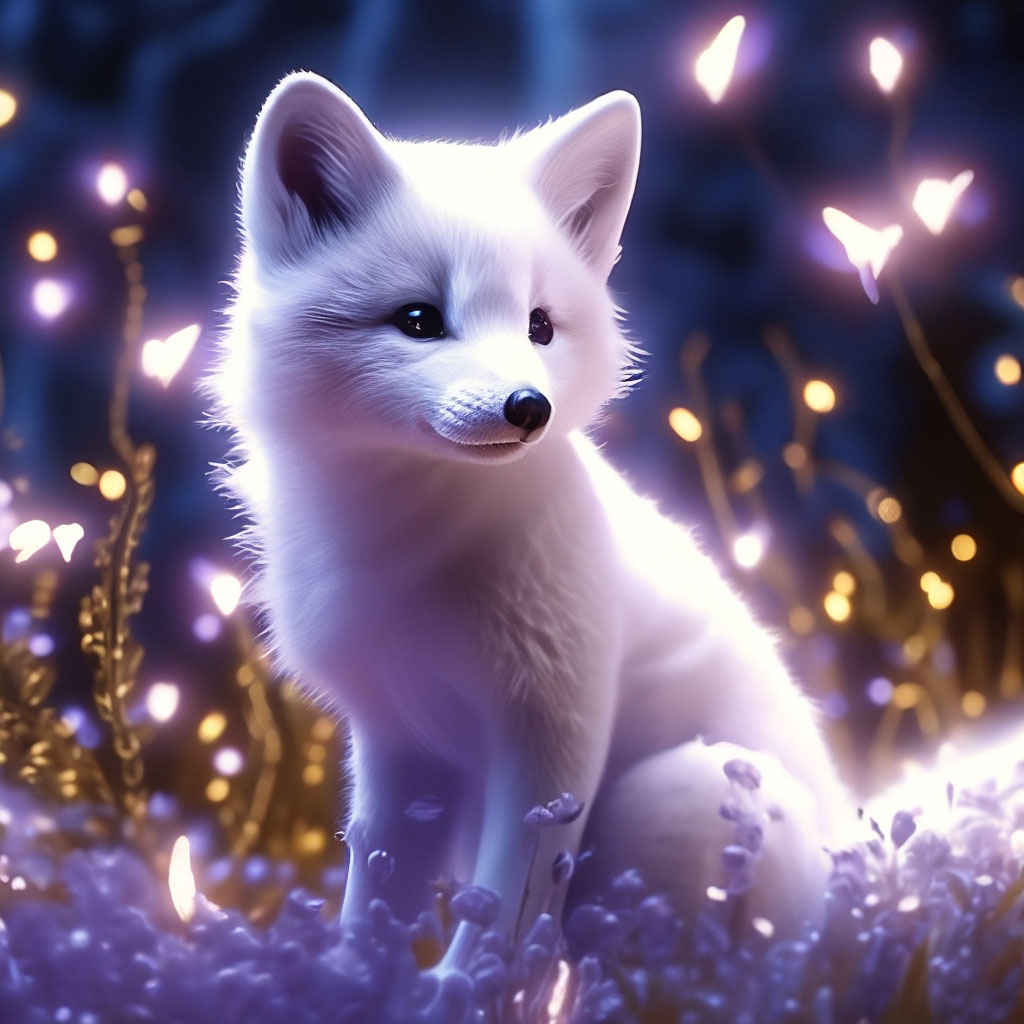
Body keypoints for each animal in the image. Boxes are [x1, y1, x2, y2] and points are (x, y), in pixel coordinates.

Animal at [212, 71, 847, 960]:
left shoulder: (555, 737)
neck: (411, 552)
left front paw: (453, 987)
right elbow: (374, 903)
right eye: (418, 320)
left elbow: (500, 936)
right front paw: (350, 980)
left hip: (682, 798)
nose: (529, 408)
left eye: (539, 325)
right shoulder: (402, 747)